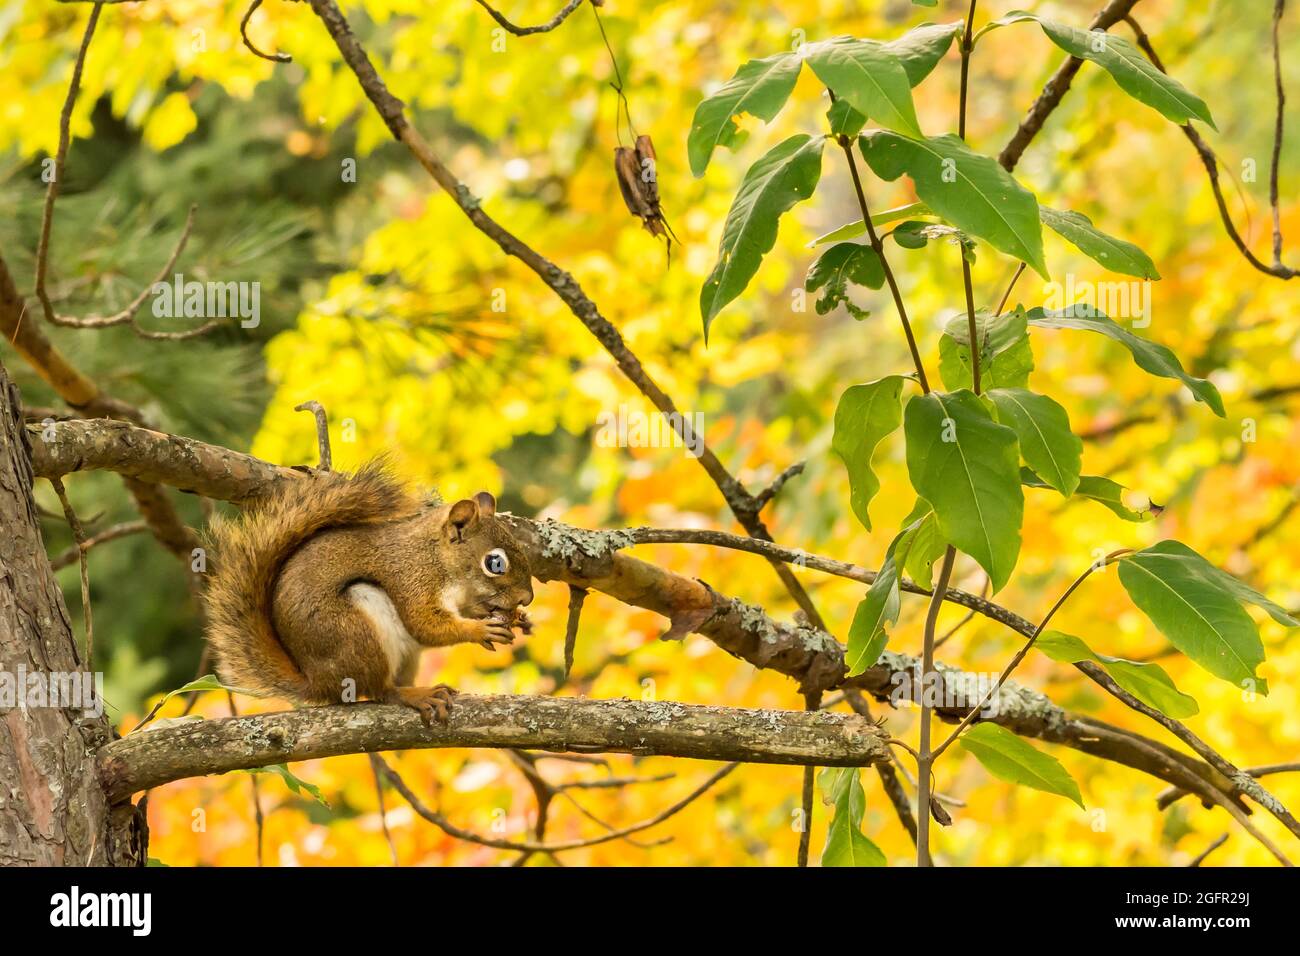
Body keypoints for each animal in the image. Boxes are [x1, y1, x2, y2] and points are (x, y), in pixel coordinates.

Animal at [203, 462, 534, 724]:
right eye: (495, 563)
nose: (527, 598)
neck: (436, 557)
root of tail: (318, 683)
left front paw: (518, 618)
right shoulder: (412, 580)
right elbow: (425, 625)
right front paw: (480, 629)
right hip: (357, 632)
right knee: (378, 691)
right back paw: (413, 695)